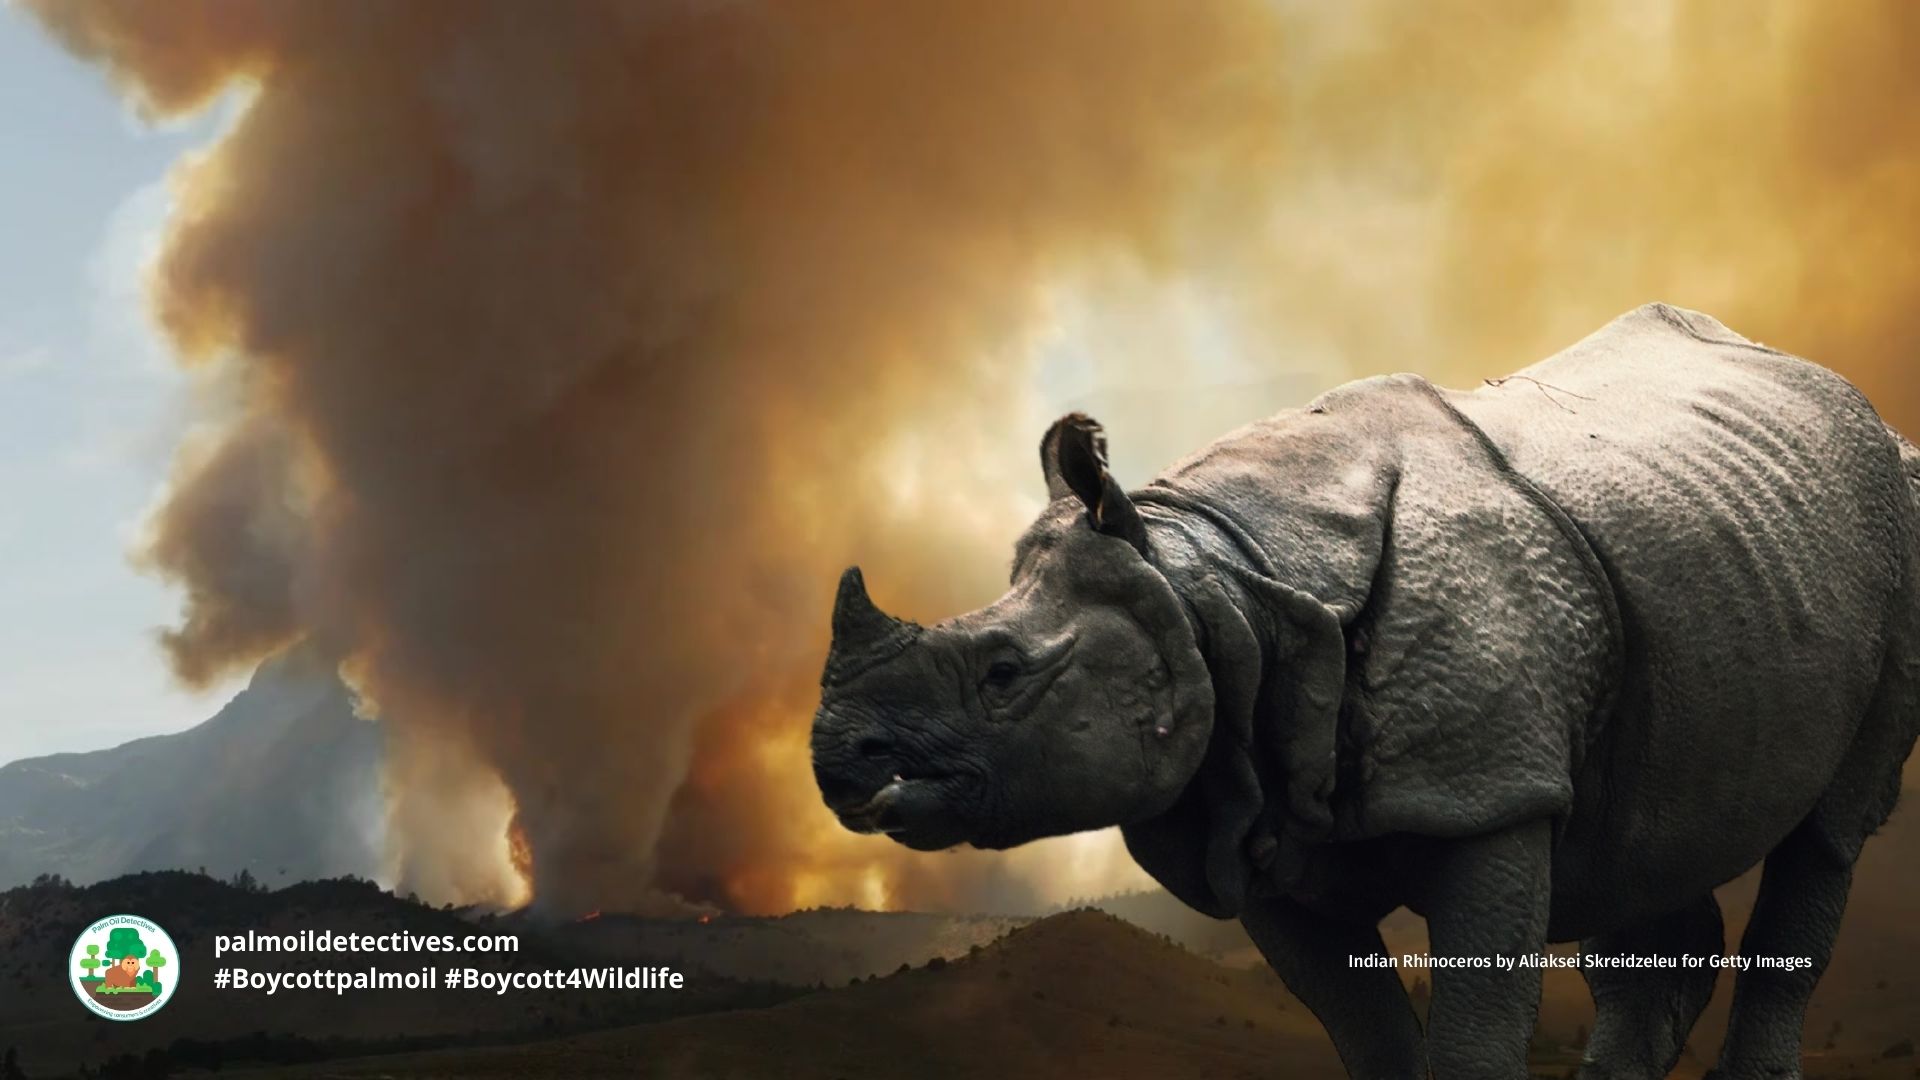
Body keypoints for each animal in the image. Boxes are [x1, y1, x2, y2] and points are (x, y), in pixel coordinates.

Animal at [811, 303, 1920, 1080]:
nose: (838, 759)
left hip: (1897, 519)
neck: (1218, 584)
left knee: (1830, 832)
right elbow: (1370, 1038)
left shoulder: (1493, 793)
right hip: (1713, 560)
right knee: (1649, 838)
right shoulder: (1255, 813)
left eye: (1004, 675)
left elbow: (1472, 1036)